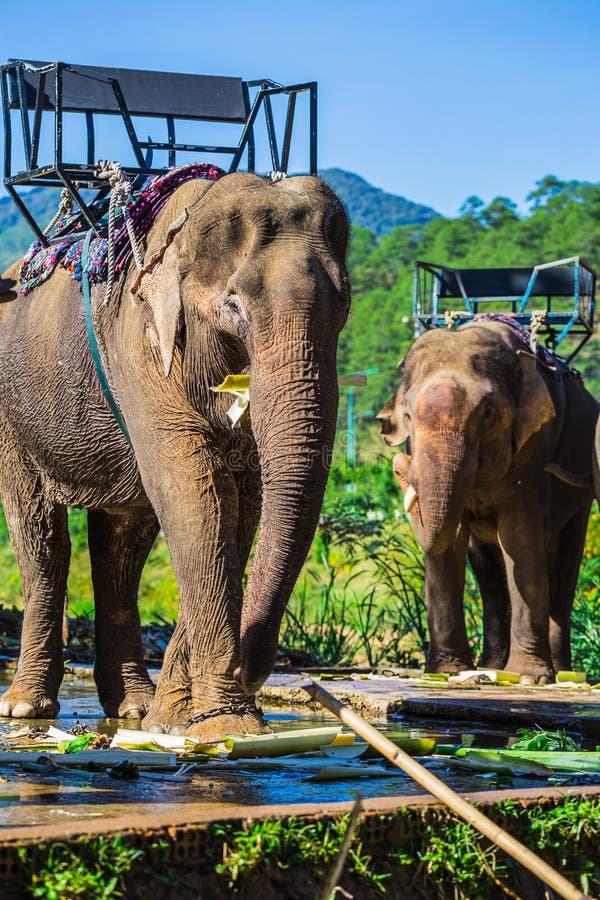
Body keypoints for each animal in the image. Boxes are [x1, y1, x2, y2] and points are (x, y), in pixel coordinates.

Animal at [0, 172, 350, 738]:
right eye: (234, 307)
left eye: (344, 311)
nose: (250, 672)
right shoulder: (138, 342)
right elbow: (194, 486)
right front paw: (226, 727)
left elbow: (240, 503)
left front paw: (178, 721)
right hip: (13, 415)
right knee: (40, 532)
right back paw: (26, 710)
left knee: (121, 542)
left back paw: (134, 710)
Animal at [378, 319, 599, 682]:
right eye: (408, 417)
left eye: (488, 413)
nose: (400, 463)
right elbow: (451, 545)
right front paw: (447, 671)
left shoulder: (534, 447)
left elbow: (520, 537)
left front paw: (529, 678)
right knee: (489, 575)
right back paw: (491, 667)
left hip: (581, 492)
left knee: (565, 563)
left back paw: (560, 673)